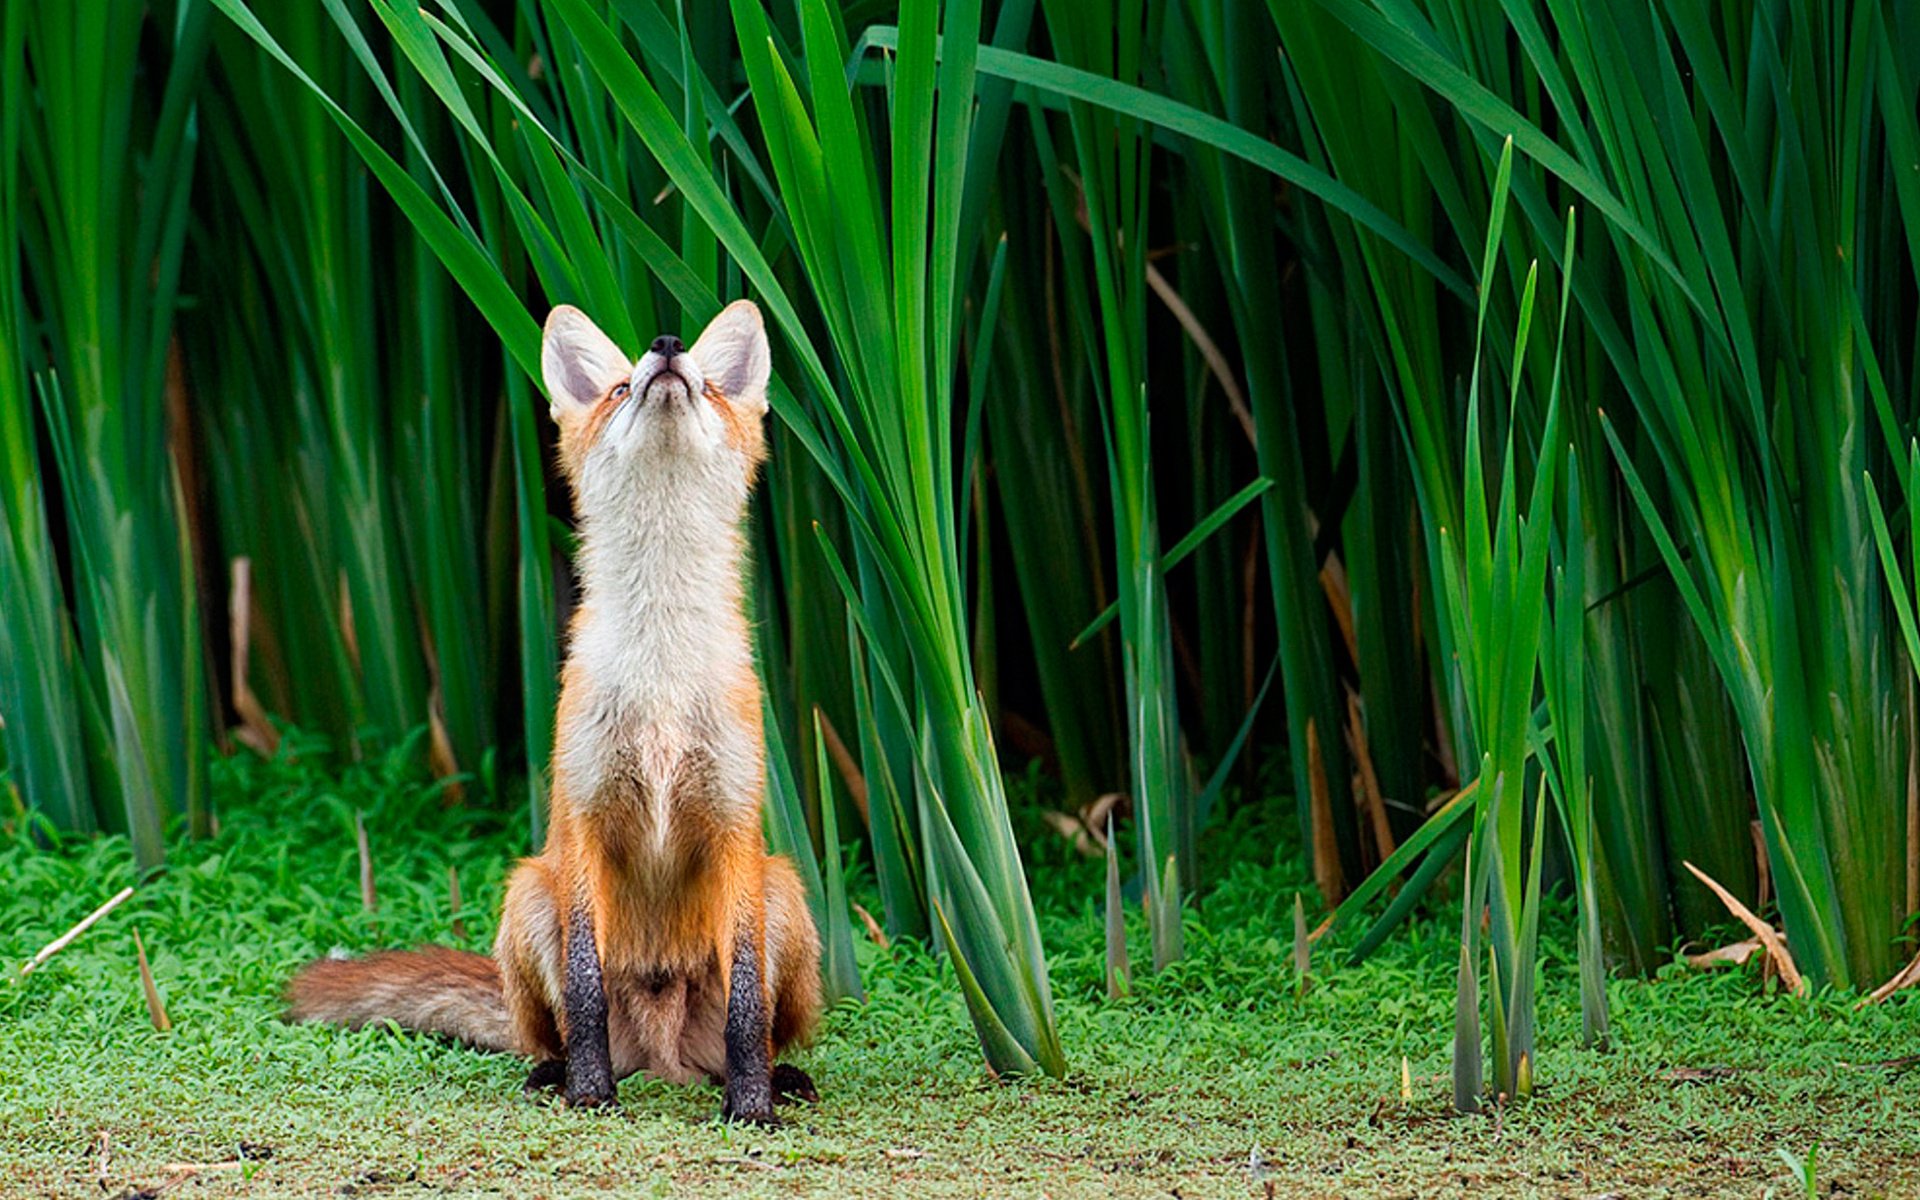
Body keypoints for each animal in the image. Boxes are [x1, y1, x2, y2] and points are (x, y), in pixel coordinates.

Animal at [286, 299, 822, 1125]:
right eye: (620, 388)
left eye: (706, 386)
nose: (667, 347)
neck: (660, 679)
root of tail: (663, 1057)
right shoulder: (584, 822)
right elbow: (585, 985)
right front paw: (592, 1094)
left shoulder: (736, 831)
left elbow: (743, 1008)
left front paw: (752, 1106)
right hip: (528, 896)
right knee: (554, 1030)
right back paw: (556, 1073)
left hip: (785, 894)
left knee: (758, 1028)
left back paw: (778, 1076)